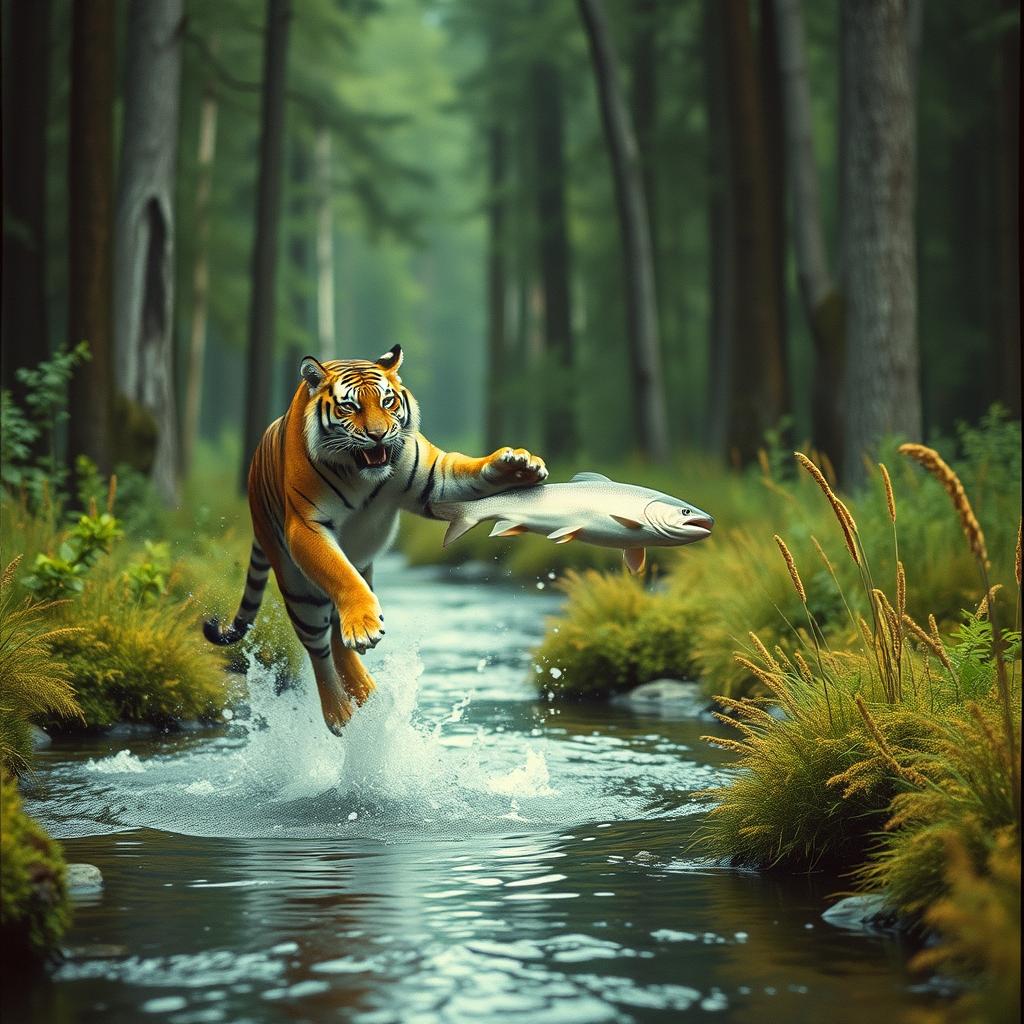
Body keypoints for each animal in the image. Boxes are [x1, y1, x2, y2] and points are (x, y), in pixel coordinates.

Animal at [203, 344, 547, 735]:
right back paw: (339, 712)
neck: (361, 472)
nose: (379, 435)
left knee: (336, 632)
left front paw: (519, 465)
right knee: (317, 645)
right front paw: (364, 628)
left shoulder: (436, 480)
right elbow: (340, 577)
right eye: (349, 407)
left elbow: (470, 470)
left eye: (387, 401)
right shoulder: (306, 526)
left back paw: (367, 693)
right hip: (297, 584)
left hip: (362, 566)